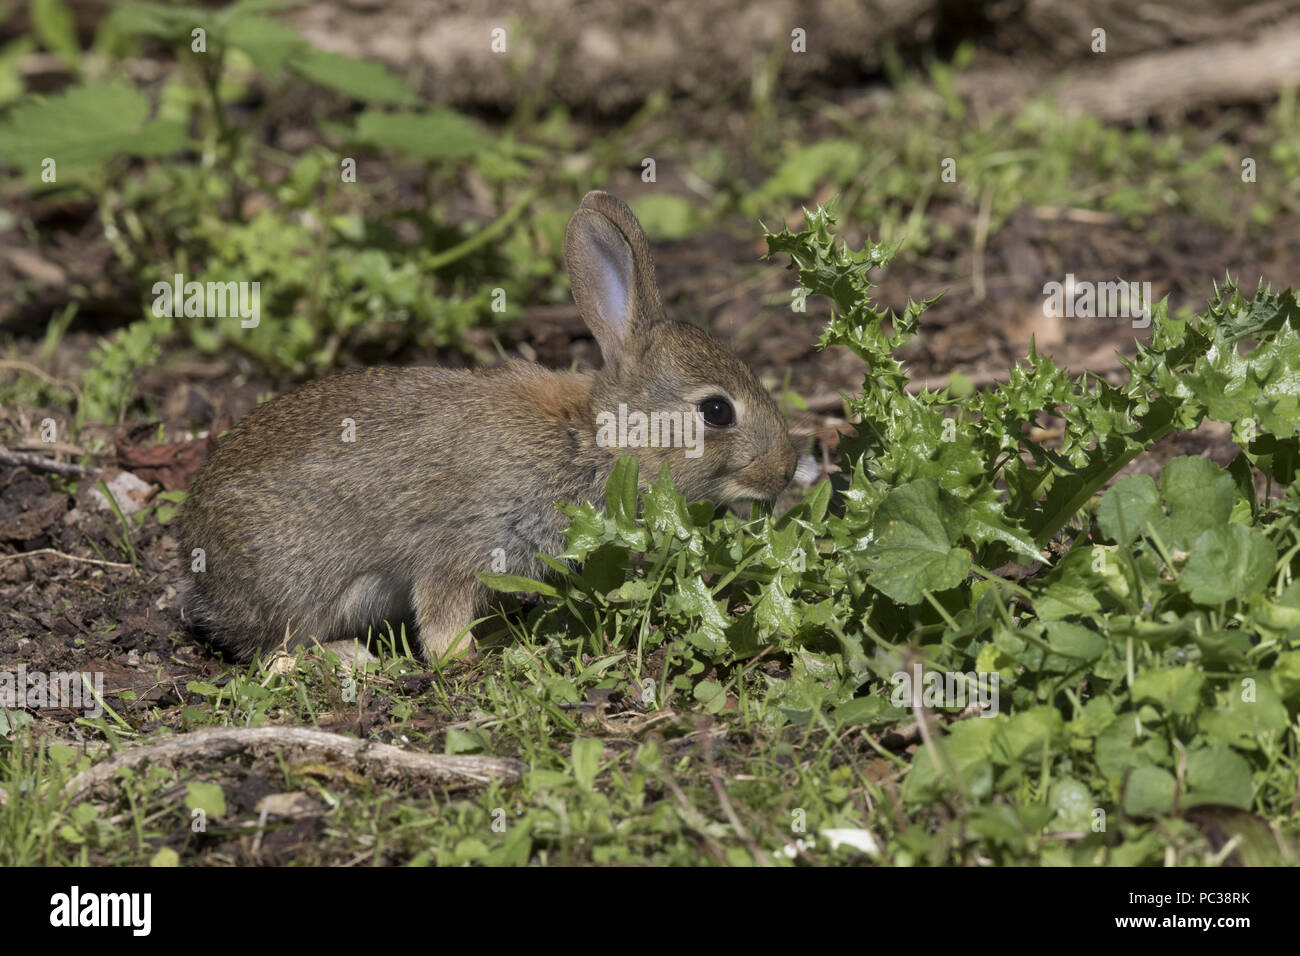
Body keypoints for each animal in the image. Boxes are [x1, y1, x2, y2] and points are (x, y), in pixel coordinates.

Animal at [179, 191, 797, 664]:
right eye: (716, 411)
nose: (786, 470)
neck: (595, 439)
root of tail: (199, 566)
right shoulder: (464, 547)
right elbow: (441, 615)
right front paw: (472, 656)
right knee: (275, 650)